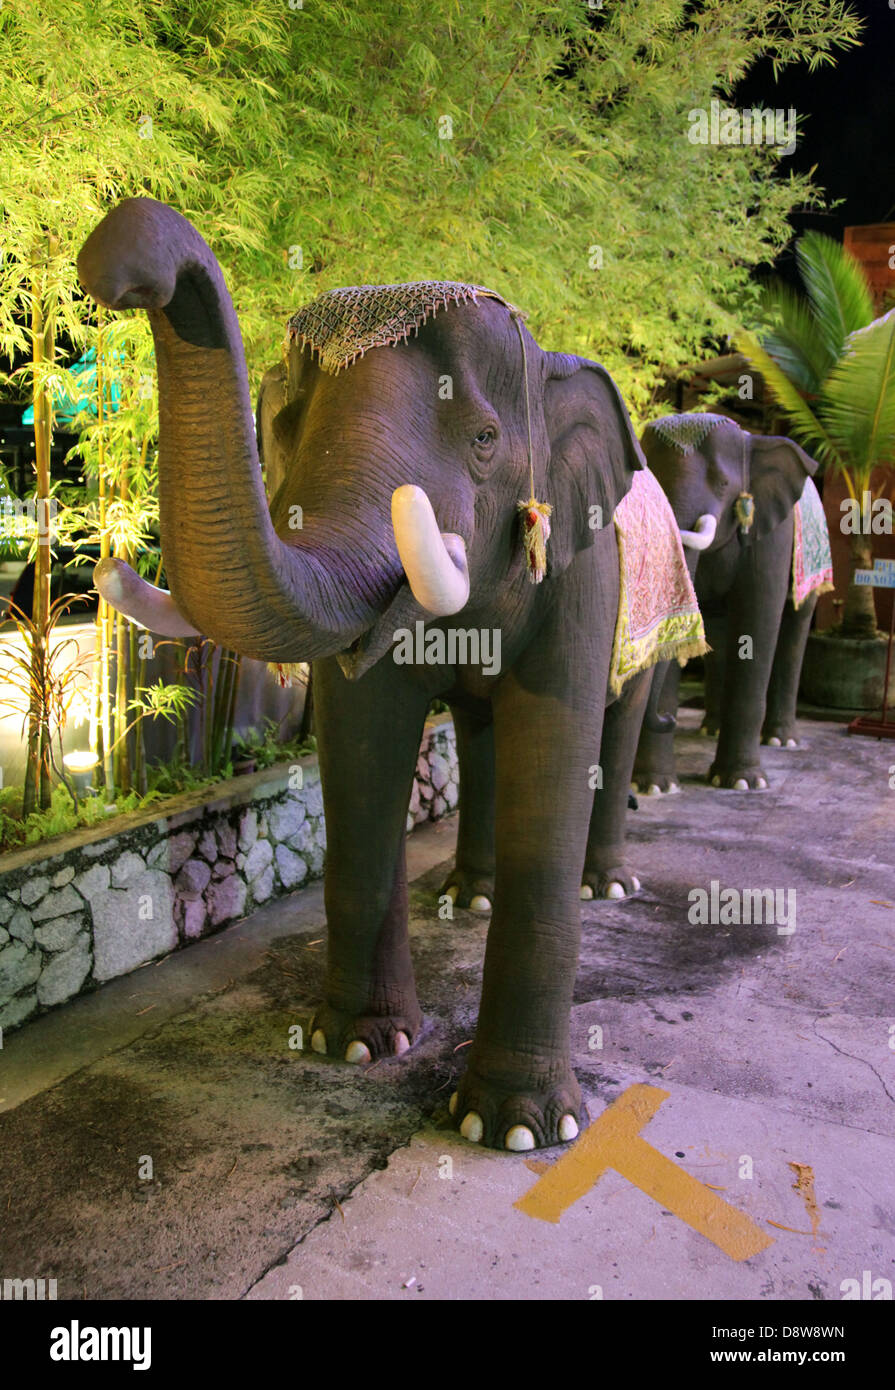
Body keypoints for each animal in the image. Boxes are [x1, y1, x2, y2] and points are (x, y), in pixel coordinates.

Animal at [77, 197, 702, 1152]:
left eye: (484, 440)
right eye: (283, 432)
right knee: (478, 735)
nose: (124, 262)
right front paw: (358, 1048)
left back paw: (604, 887)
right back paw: (465, 898)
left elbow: (554, 744)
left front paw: (514, 1130)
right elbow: (361, 738)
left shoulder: (581, 567)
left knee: (618, 719)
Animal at [633, 413, 833, 794]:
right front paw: (655, 787)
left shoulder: (773, 533)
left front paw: (743, 783)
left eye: (724, 484)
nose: (668, 717)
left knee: (794, 625)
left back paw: (782, 741)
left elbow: (757, 622)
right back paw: (710, 728)